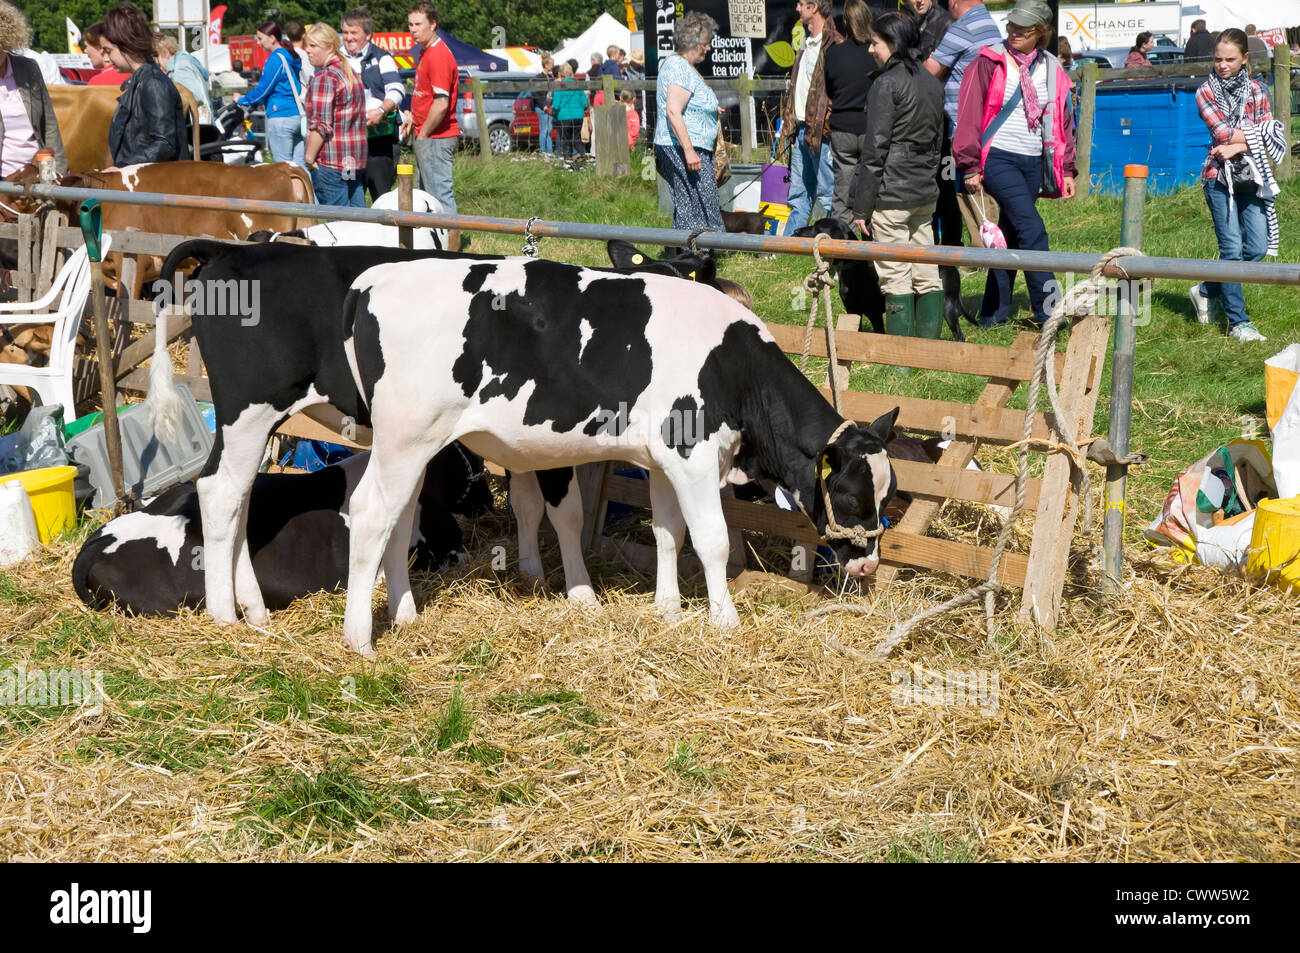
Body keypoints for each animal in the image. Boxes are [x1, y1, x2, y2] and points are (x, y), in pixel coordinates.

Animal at [330, 257, 900, 656]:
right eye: (849, 495)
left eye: (887, 493)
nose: (869, 564)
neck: (730, 366)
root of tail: (374, 279)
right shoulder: (693, 456)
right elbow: (711, 539)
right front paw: (724, 619)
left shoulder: (668, 462)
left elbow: (669, 533)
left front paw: (668, 607)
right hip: (404, 440)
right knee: (370, 514)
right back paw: (360, 639)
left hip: (415, 448)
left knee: (401, 520)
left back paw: (405, 615)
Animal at [791, 217, 970, 342]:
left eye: (817, 227)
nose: (795, 230)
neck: (855, 271)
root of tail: (952, 267)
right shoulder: (852, 310)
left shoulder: (874, 312)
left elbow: (879, 333)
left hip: (947, 305)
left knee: (959, 335)